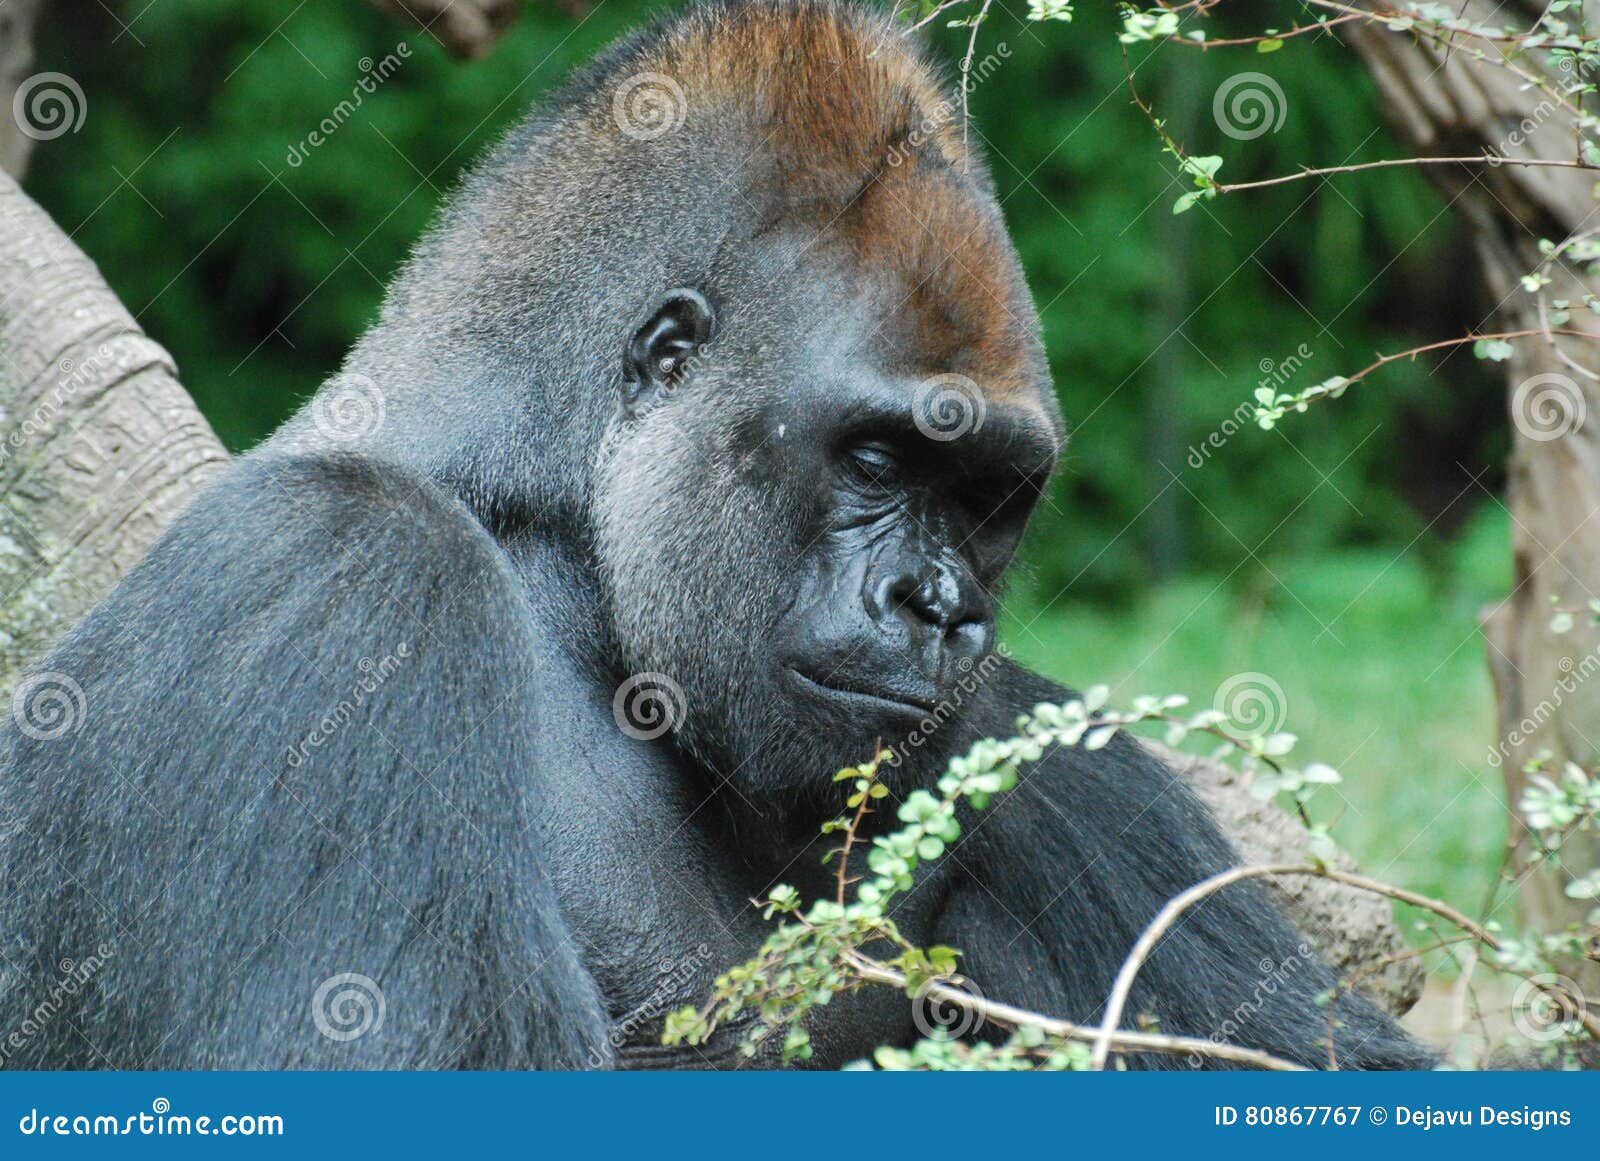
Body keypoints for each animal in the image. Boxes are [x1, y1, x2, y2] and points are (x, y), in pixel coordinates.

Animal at [0, 0, 1431, 1070]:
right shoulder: (338, 567)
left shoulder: (1025, 745)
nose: (939, 607)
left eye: (991, 499)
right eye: (878, 460)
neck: (569, 563)